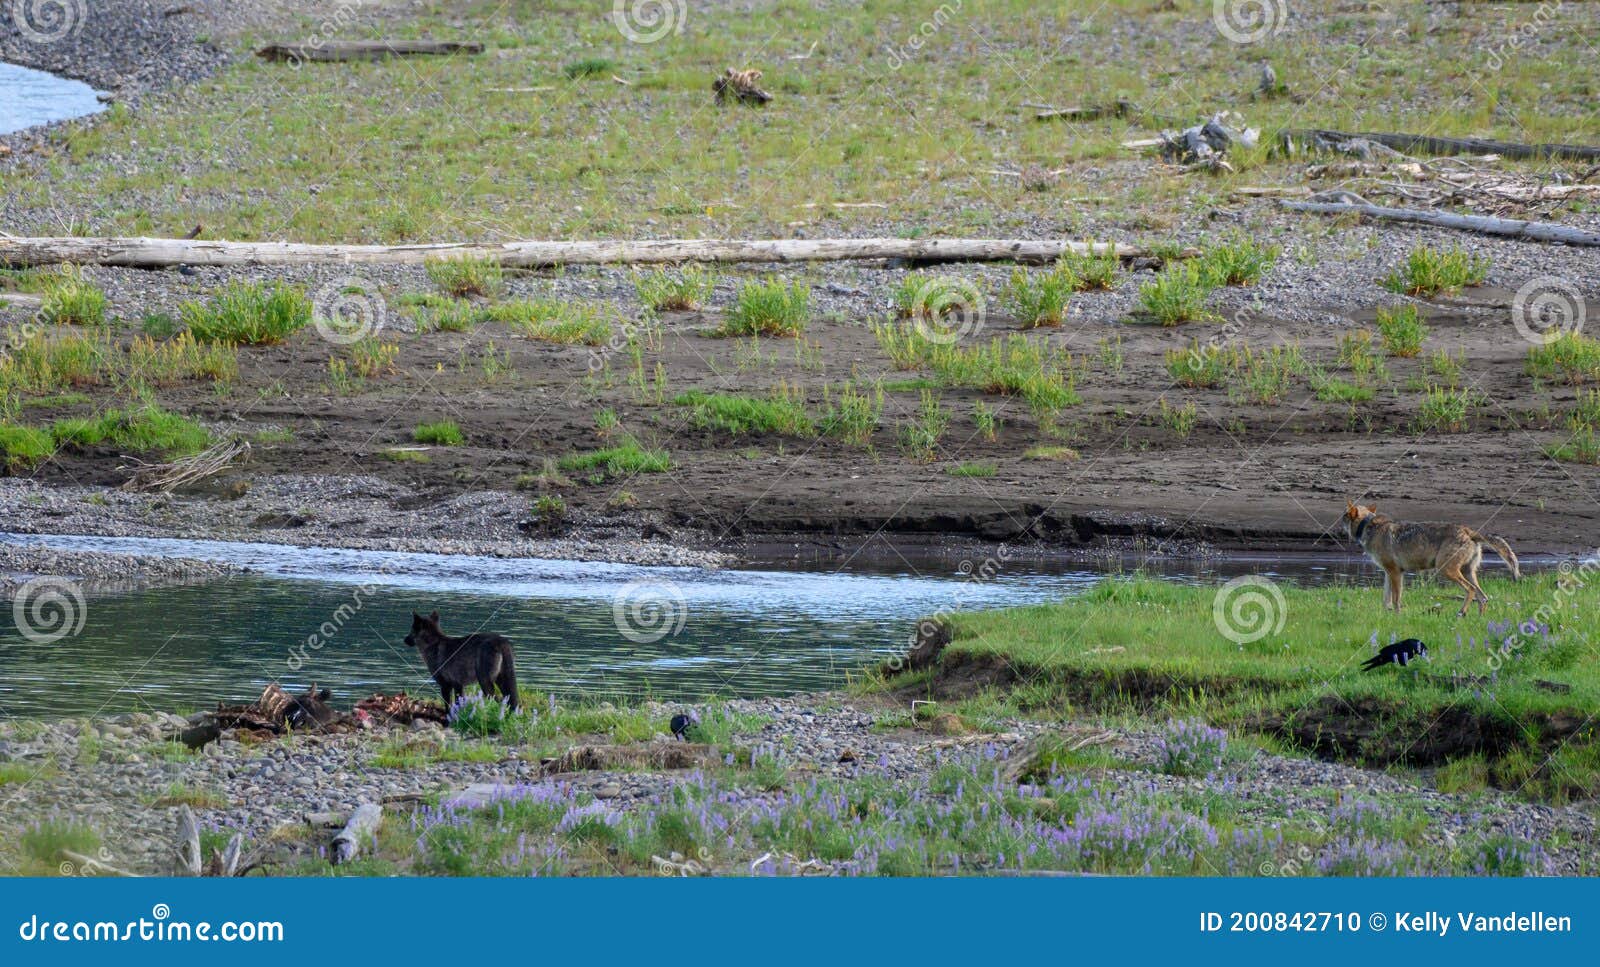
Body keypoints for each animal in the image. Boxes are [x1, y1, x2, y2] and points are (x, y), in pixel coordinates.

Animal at [1342, 502, 1520, 615]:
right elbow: (1386, 600)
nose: (1339, 521)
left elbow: (1396, 599)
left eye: (1344, 515)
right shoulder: (1389, 573)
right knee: (1483, 598)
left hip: (1446, 570)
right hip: (1467, 572)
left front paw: (1397, 617)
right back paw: (1478, 620)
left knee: (1470, 590)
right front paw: (1386, 616)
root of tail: (1468, 530)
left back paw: (1461, 613)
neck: (1369, 526)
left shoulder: (1395, 573)